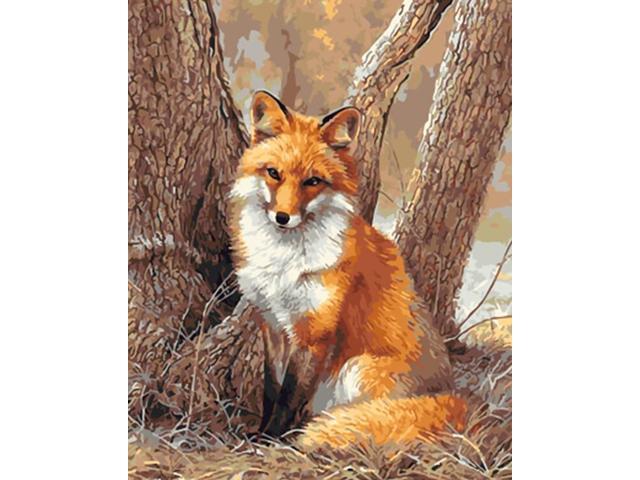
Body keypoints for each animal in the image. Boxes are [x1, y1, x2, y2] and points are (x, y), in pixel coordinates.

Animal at [228, 90, 467, 448]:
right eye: (274, 173)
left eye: (313, 181)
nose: (282, 217)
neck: (283, 263)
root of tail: (452, 395)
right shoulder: (271, 323)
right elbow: (272, 389)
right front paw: (262, 430)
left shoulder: (314, 332)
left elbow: (289, 394)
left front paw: (271, 438)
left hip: (358, 367)